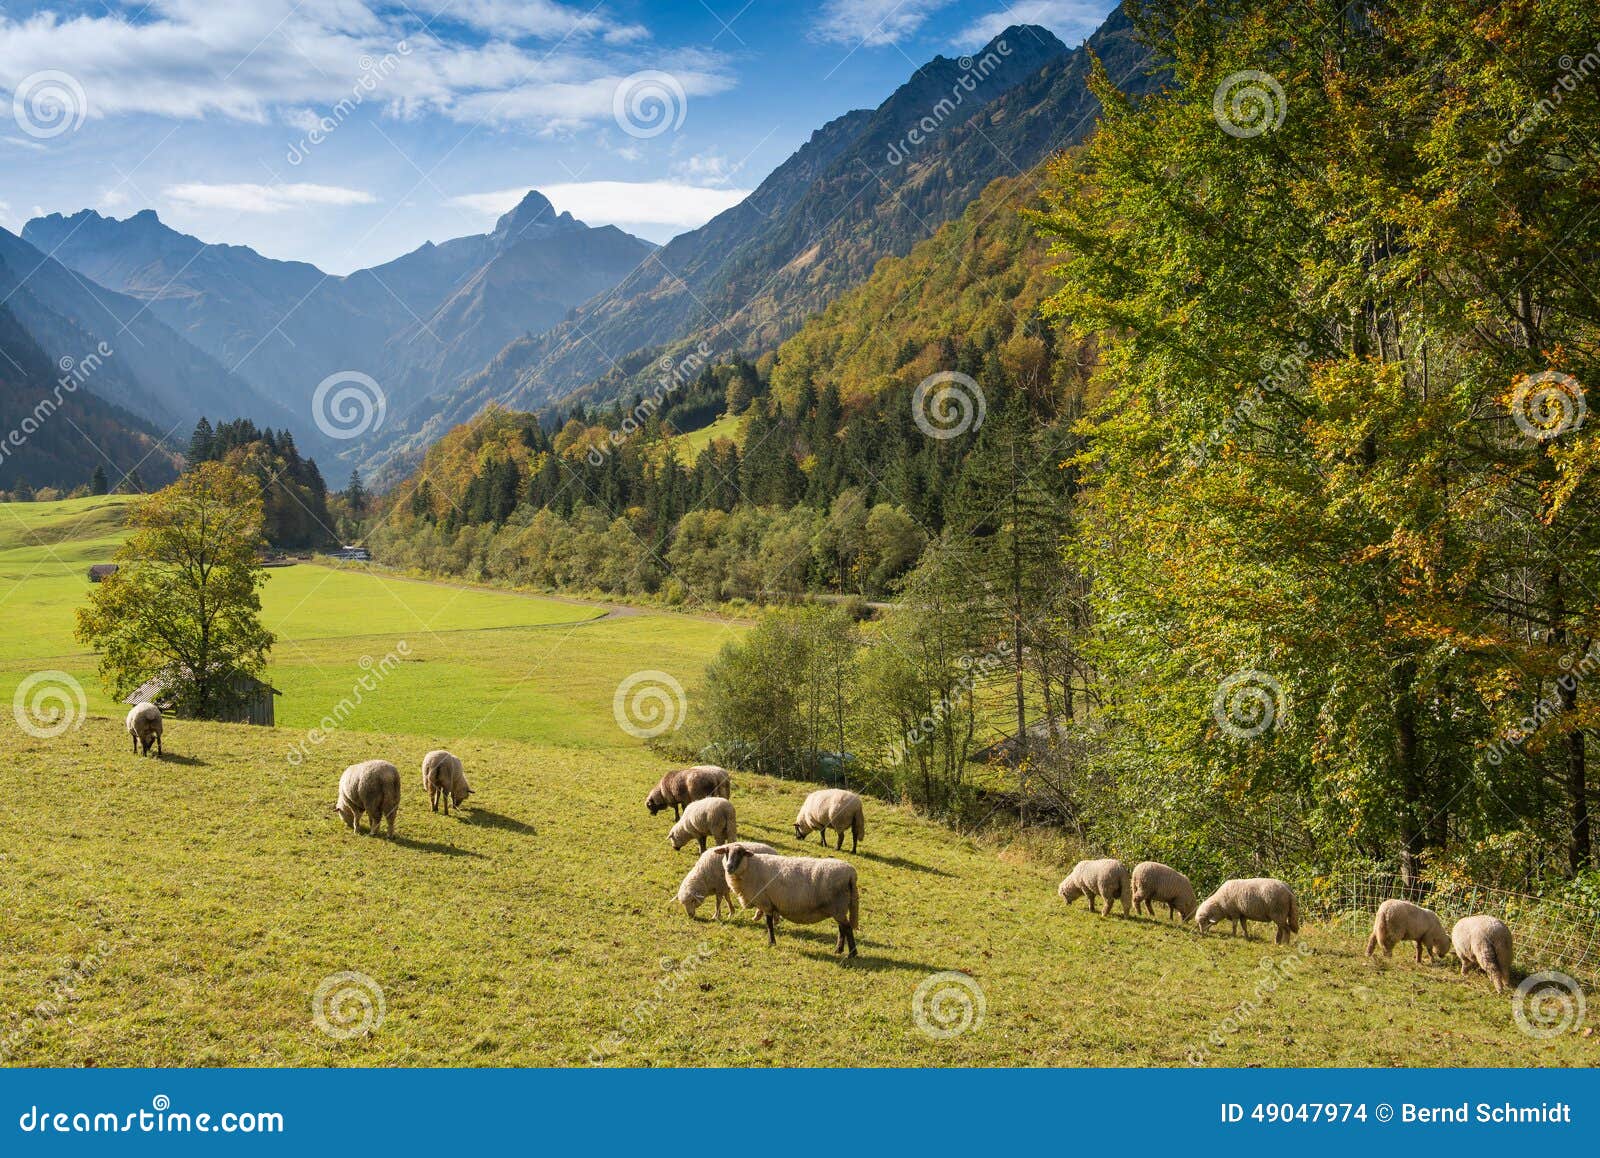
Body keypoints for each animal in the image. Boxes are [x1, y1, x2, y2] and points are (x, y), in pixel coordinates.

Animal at [716, 842, 859, 956]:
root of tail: (851, 874)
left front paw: (771, 942)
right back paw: (838, 950)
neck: (750, 867)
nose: (729, 867)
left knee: (847, 927)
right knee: (842, 928)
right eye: (726, 852)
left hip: (838, 906)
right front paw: (772, 941)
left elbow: (769, 924)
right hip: (838, 908)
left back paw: (852, 953)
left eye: (740, 853)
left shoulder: (766, 902)